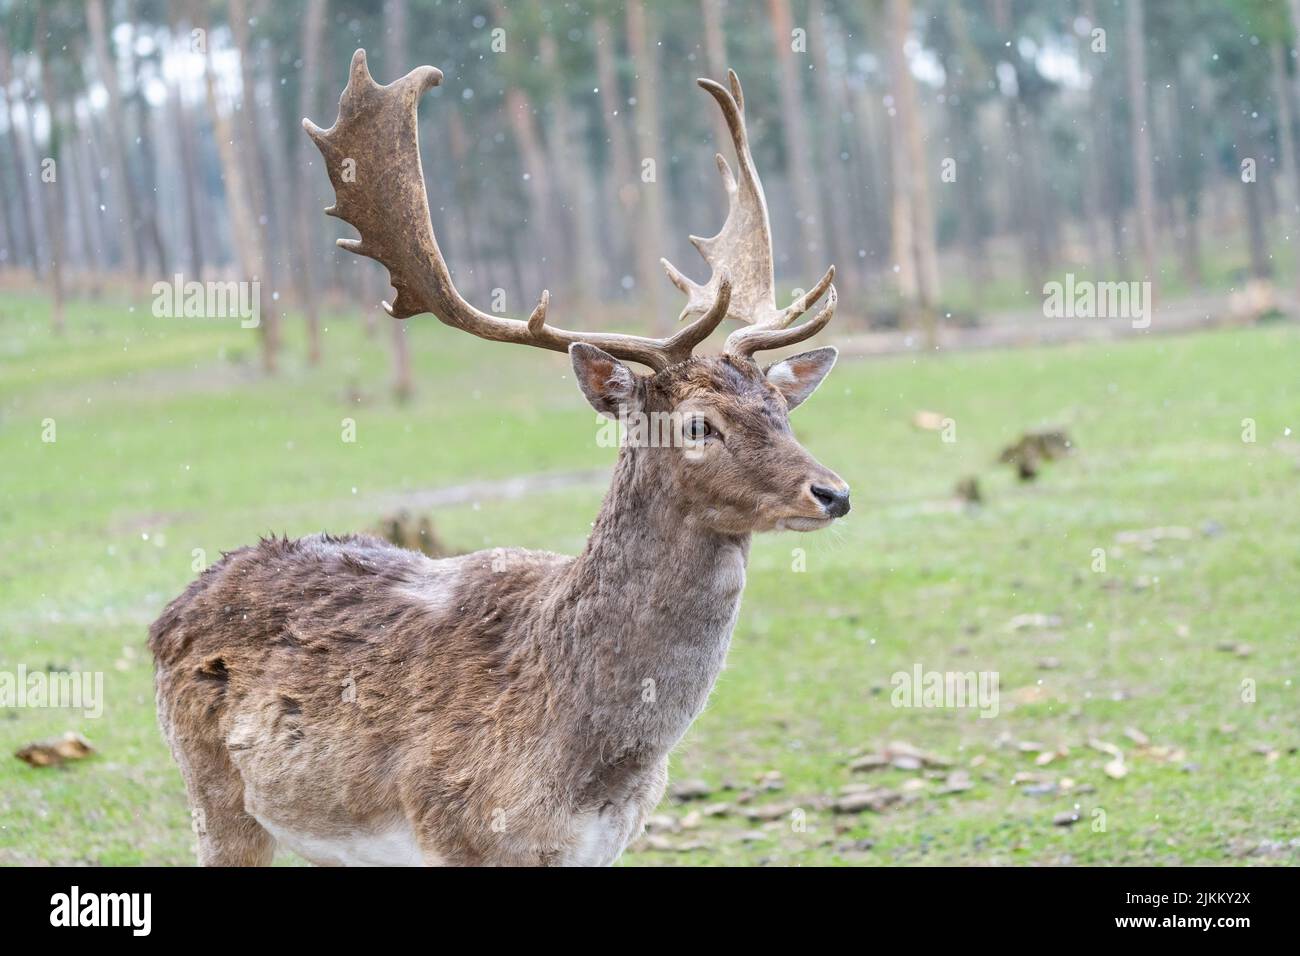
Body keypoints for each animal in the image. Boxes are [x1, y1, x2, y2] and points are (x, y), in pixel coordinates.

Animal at [150, 50, 849, 867]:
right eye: (699, 426)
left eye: (782, 409)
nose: (833, 492)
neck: (590, 761)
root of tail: (174, 607)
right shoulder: (458, 831)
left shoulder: (607, 843)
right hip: (214, 793)